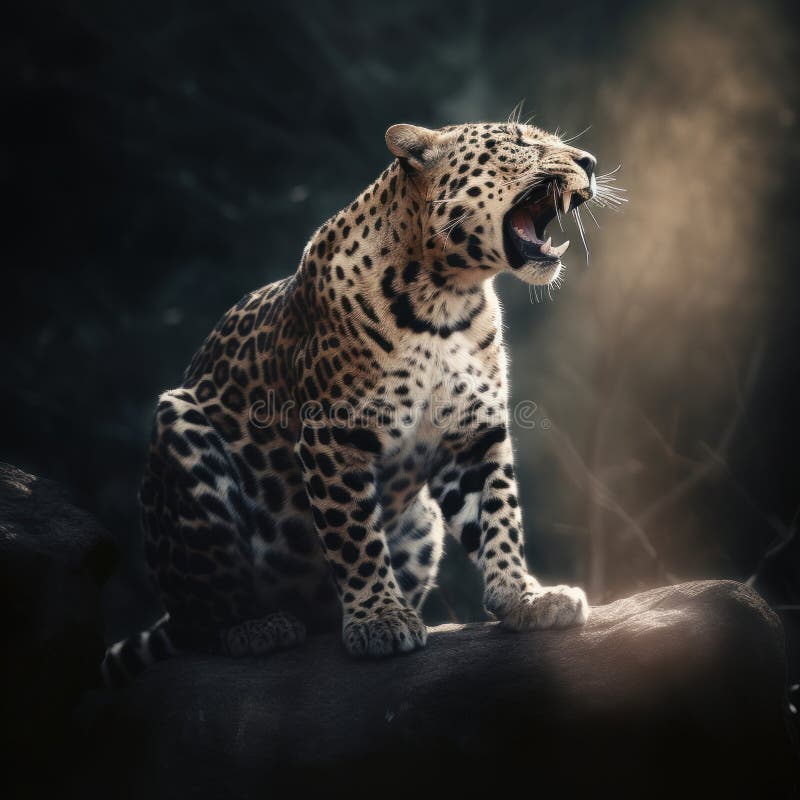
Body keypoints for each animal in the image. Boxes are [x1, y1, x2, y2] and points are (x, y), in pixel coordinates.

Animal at [102, 120, 598, 685]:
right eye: (520, 143)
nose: (590, 162)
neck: (445, 299)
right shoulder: (333, 435)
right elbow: (354, 535)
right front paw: (379, 619)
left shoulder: (473, 434)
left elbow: (498, 515)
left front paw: (525, 598)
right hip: (180, 430)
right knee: (199, 621)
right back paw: (254, 628)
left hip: (422, 518)